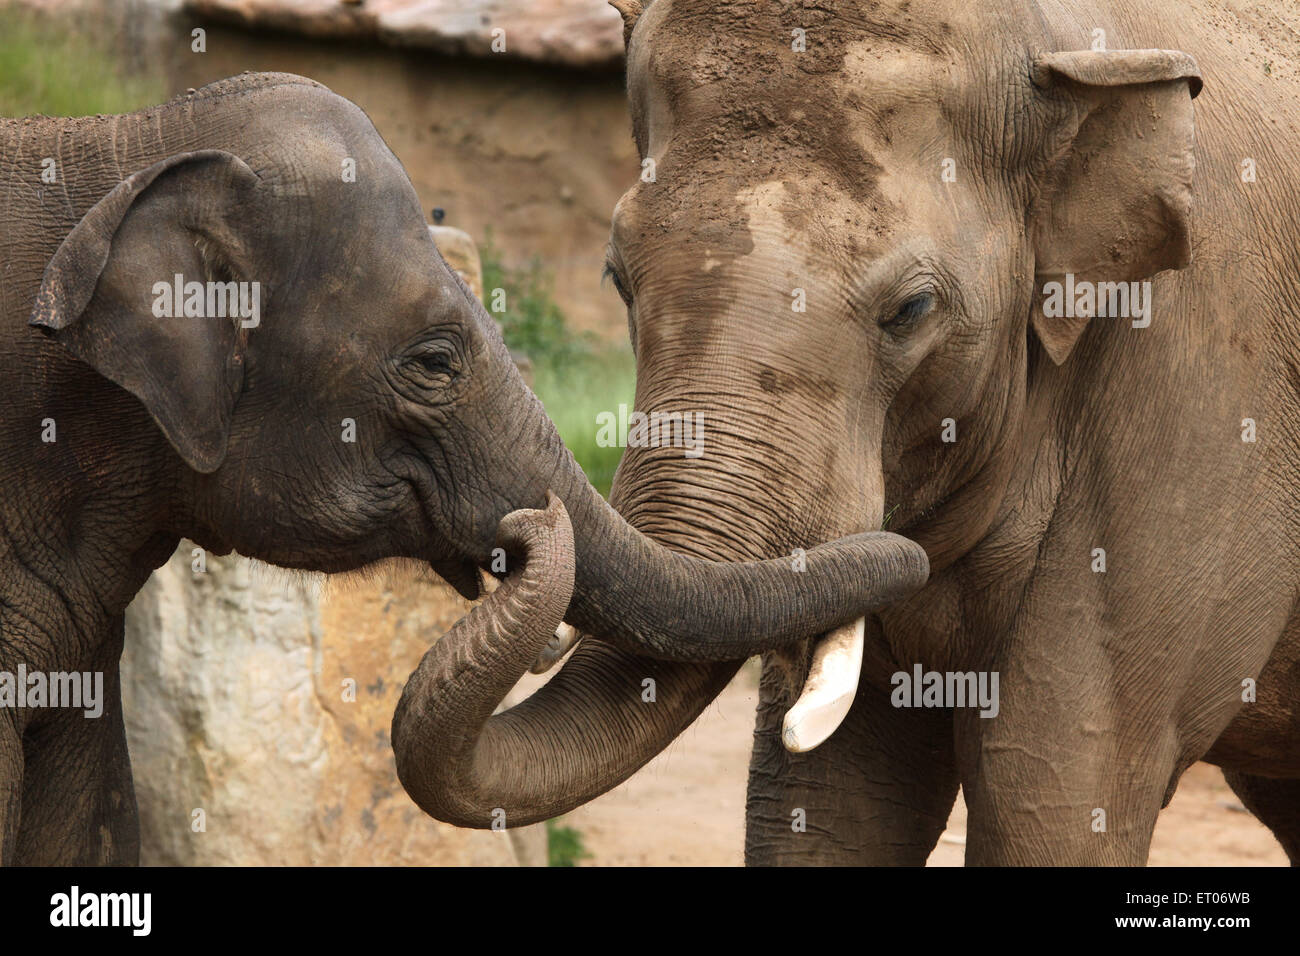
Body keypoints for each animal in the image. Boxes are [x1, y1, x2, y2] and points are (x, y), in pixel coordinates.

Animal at [406, 0, 1300, 865]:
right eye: (617, 278)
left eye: (912, 310)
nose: (528, 524)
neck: (1062, 44)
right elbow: (831, 800)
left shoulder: (1191, 394)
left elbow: (1052, 794)